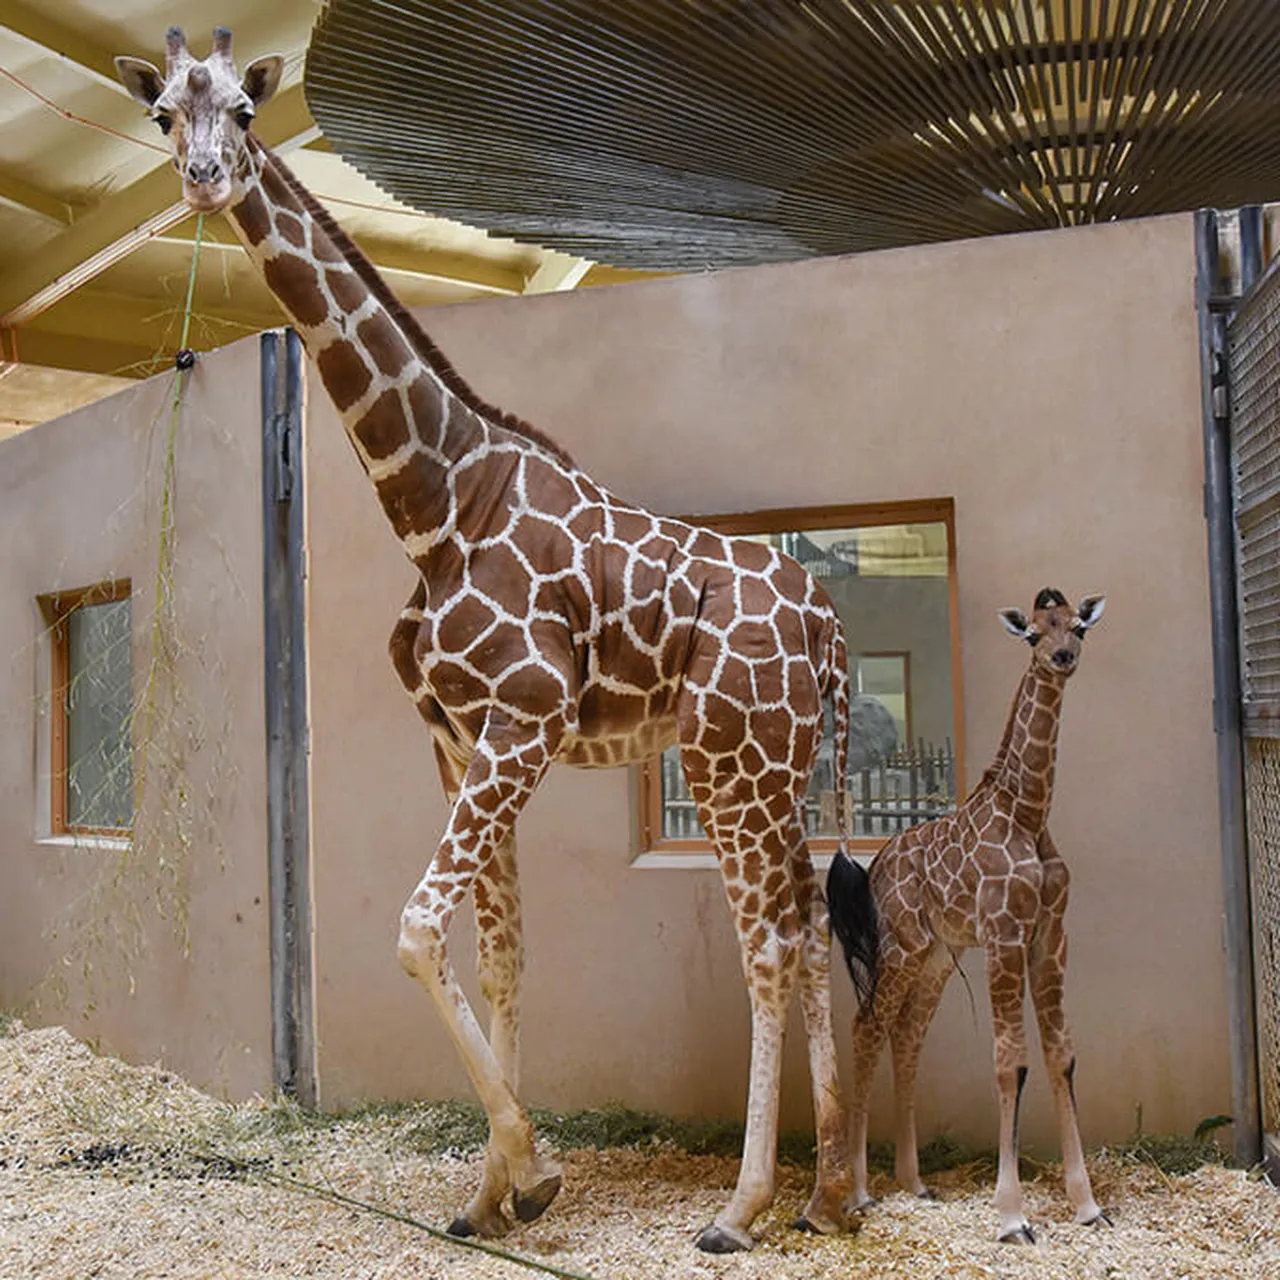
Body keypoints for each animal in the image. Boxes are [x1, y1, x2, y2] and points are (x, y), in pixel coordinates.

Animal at [115, 27, 862, 1253]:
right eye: (165, 115)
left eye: (245, 109)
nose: (207, 178)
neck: (433, 502)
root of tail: (826, 620)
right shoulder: (460, 737)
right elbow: (502, 953)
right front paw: (484, 1196)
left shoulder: (526, 719)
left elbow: (419, 930)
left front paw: (533, 1168)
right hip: (776, 761)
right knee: (803, 918)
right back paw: (834, 1187)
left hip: (728, 758)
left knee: (767, 939)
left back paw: (743, 1206)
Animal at [827, 587, 1111, 1244]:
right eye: (1033, 632)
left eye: (1079, 626)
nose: (1062, 657)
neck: (1027, 812)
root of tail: (875, 867)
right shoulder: (1005, 934)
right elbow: (1011, 1061)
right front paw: (1011, 1216)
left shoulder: (1050, 934)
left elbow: (1062, 1055)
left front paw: (1087, 1205)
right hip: (901, 946)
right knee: (866, 1027)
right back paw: (859, 1192)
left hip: (938, 953)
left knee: (907, 1035)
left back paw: (913, 1182)